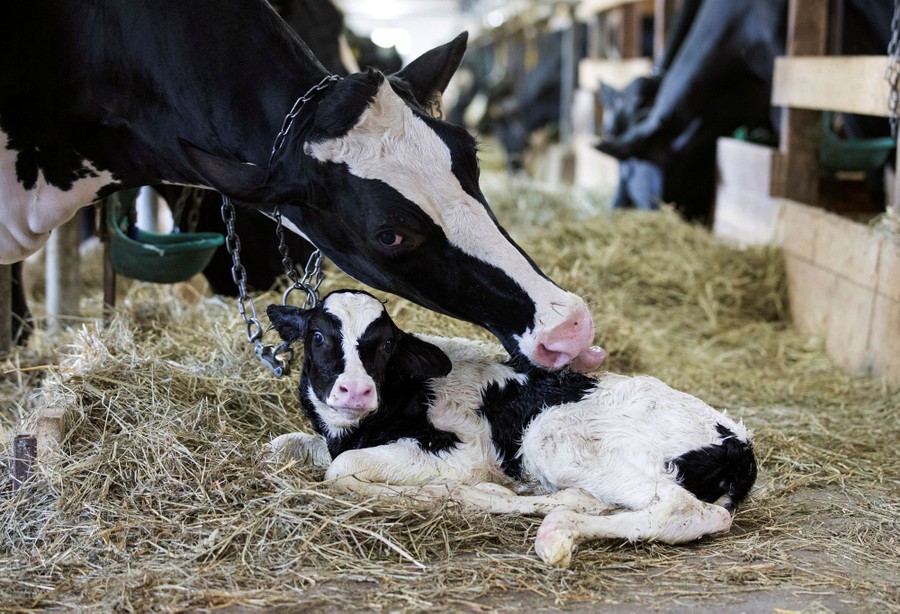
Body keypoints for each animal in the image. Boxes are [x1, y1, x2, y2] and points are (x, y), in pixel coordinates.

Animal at [266, 290, 757, 567]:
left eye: (385, 344)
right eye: (316, 336)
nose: (355, 390)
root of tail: (738, 442)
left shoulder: (461, 452)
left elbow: (341, 470)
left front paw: (444, 495)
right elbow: (286, 445)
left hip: (554, 436)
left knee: (684, 509)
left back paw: (555, 528)